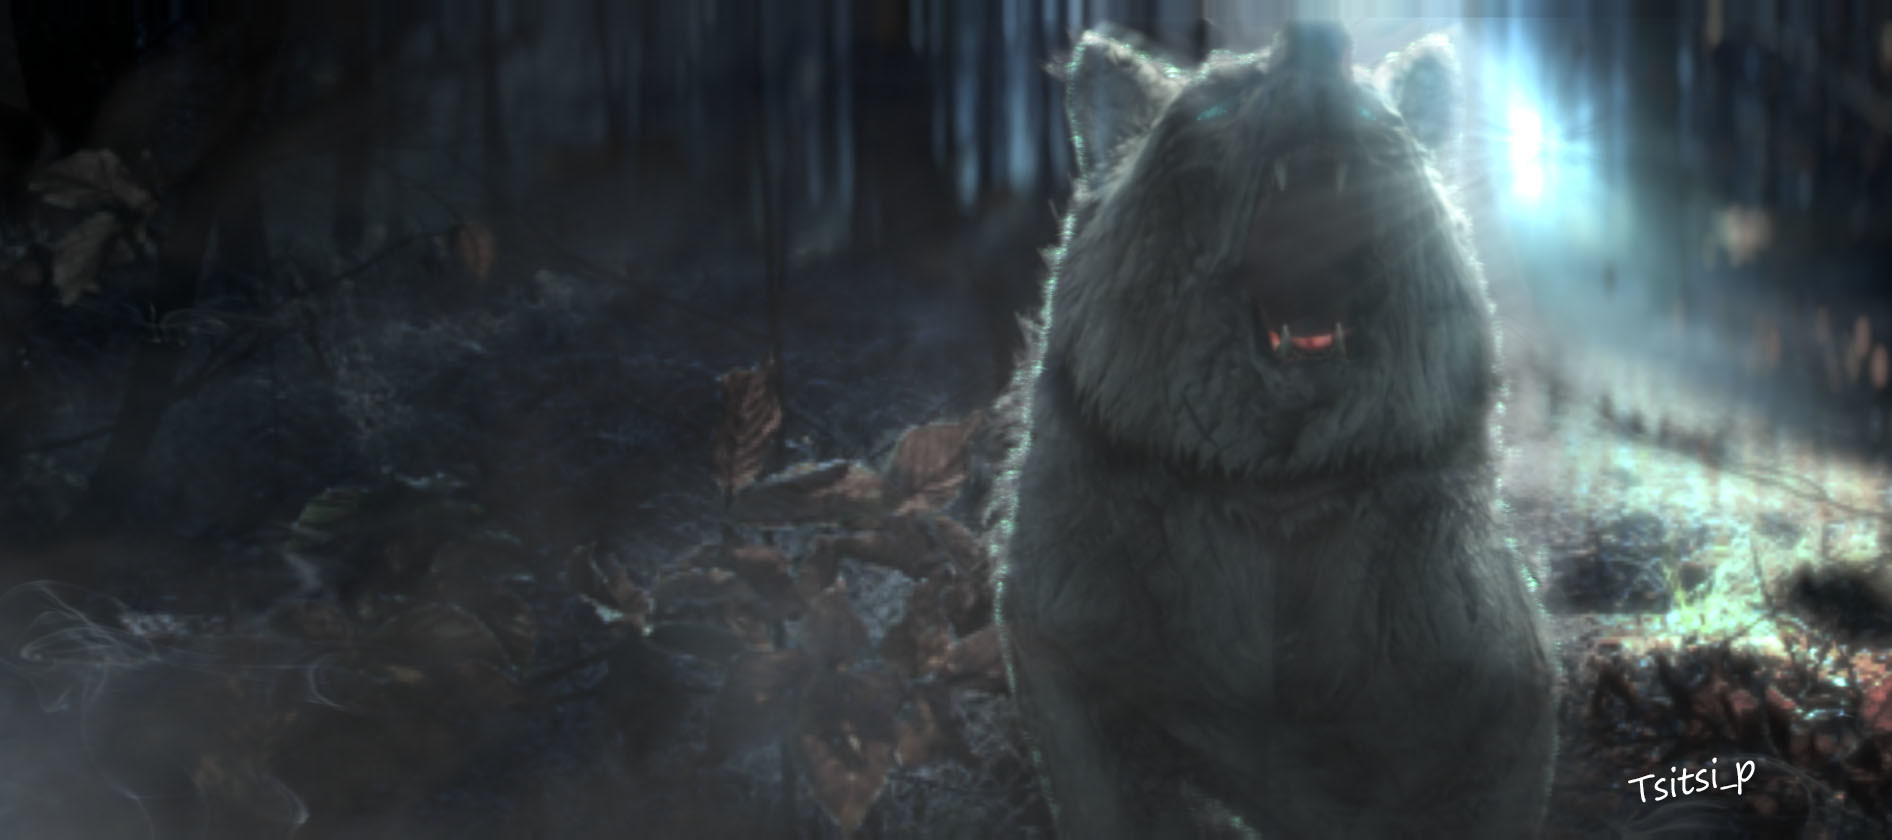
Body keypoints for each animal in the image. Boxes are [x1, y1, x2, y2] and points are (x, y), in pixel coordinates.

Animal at [984, 21, 1557, 839]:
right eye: (1220, 100)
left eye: (1378, 107)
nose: (1319, 38)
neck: (1277, 497)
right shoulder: (1074, 670)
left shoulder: (1496, 705)